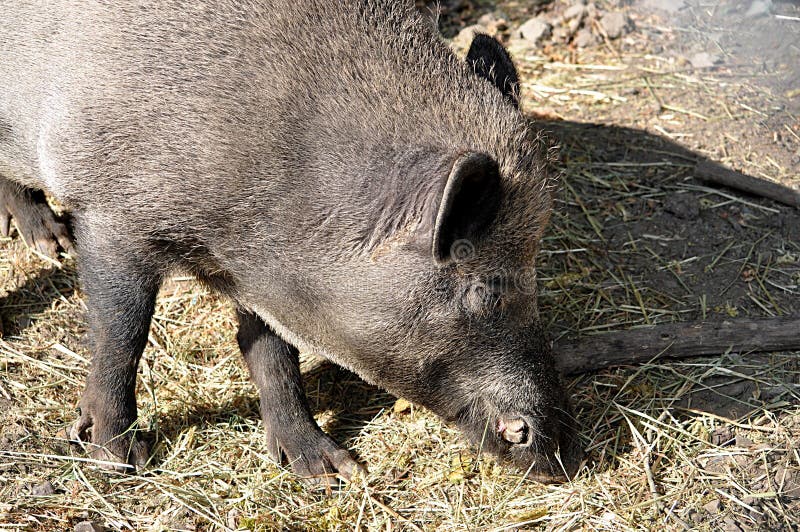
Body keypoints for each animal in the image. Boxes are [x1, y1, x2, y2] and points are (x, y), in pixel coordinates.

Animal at [0, 1, 582, 484]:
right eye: (484, 290)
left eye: (533, 271)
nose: (563, 456)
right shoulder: (110, 215)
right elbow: (121, 335)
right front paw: (118, 459)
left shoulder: (261, 275)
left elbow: (272, 350)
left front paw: (329, 473)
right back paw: (50, 245)